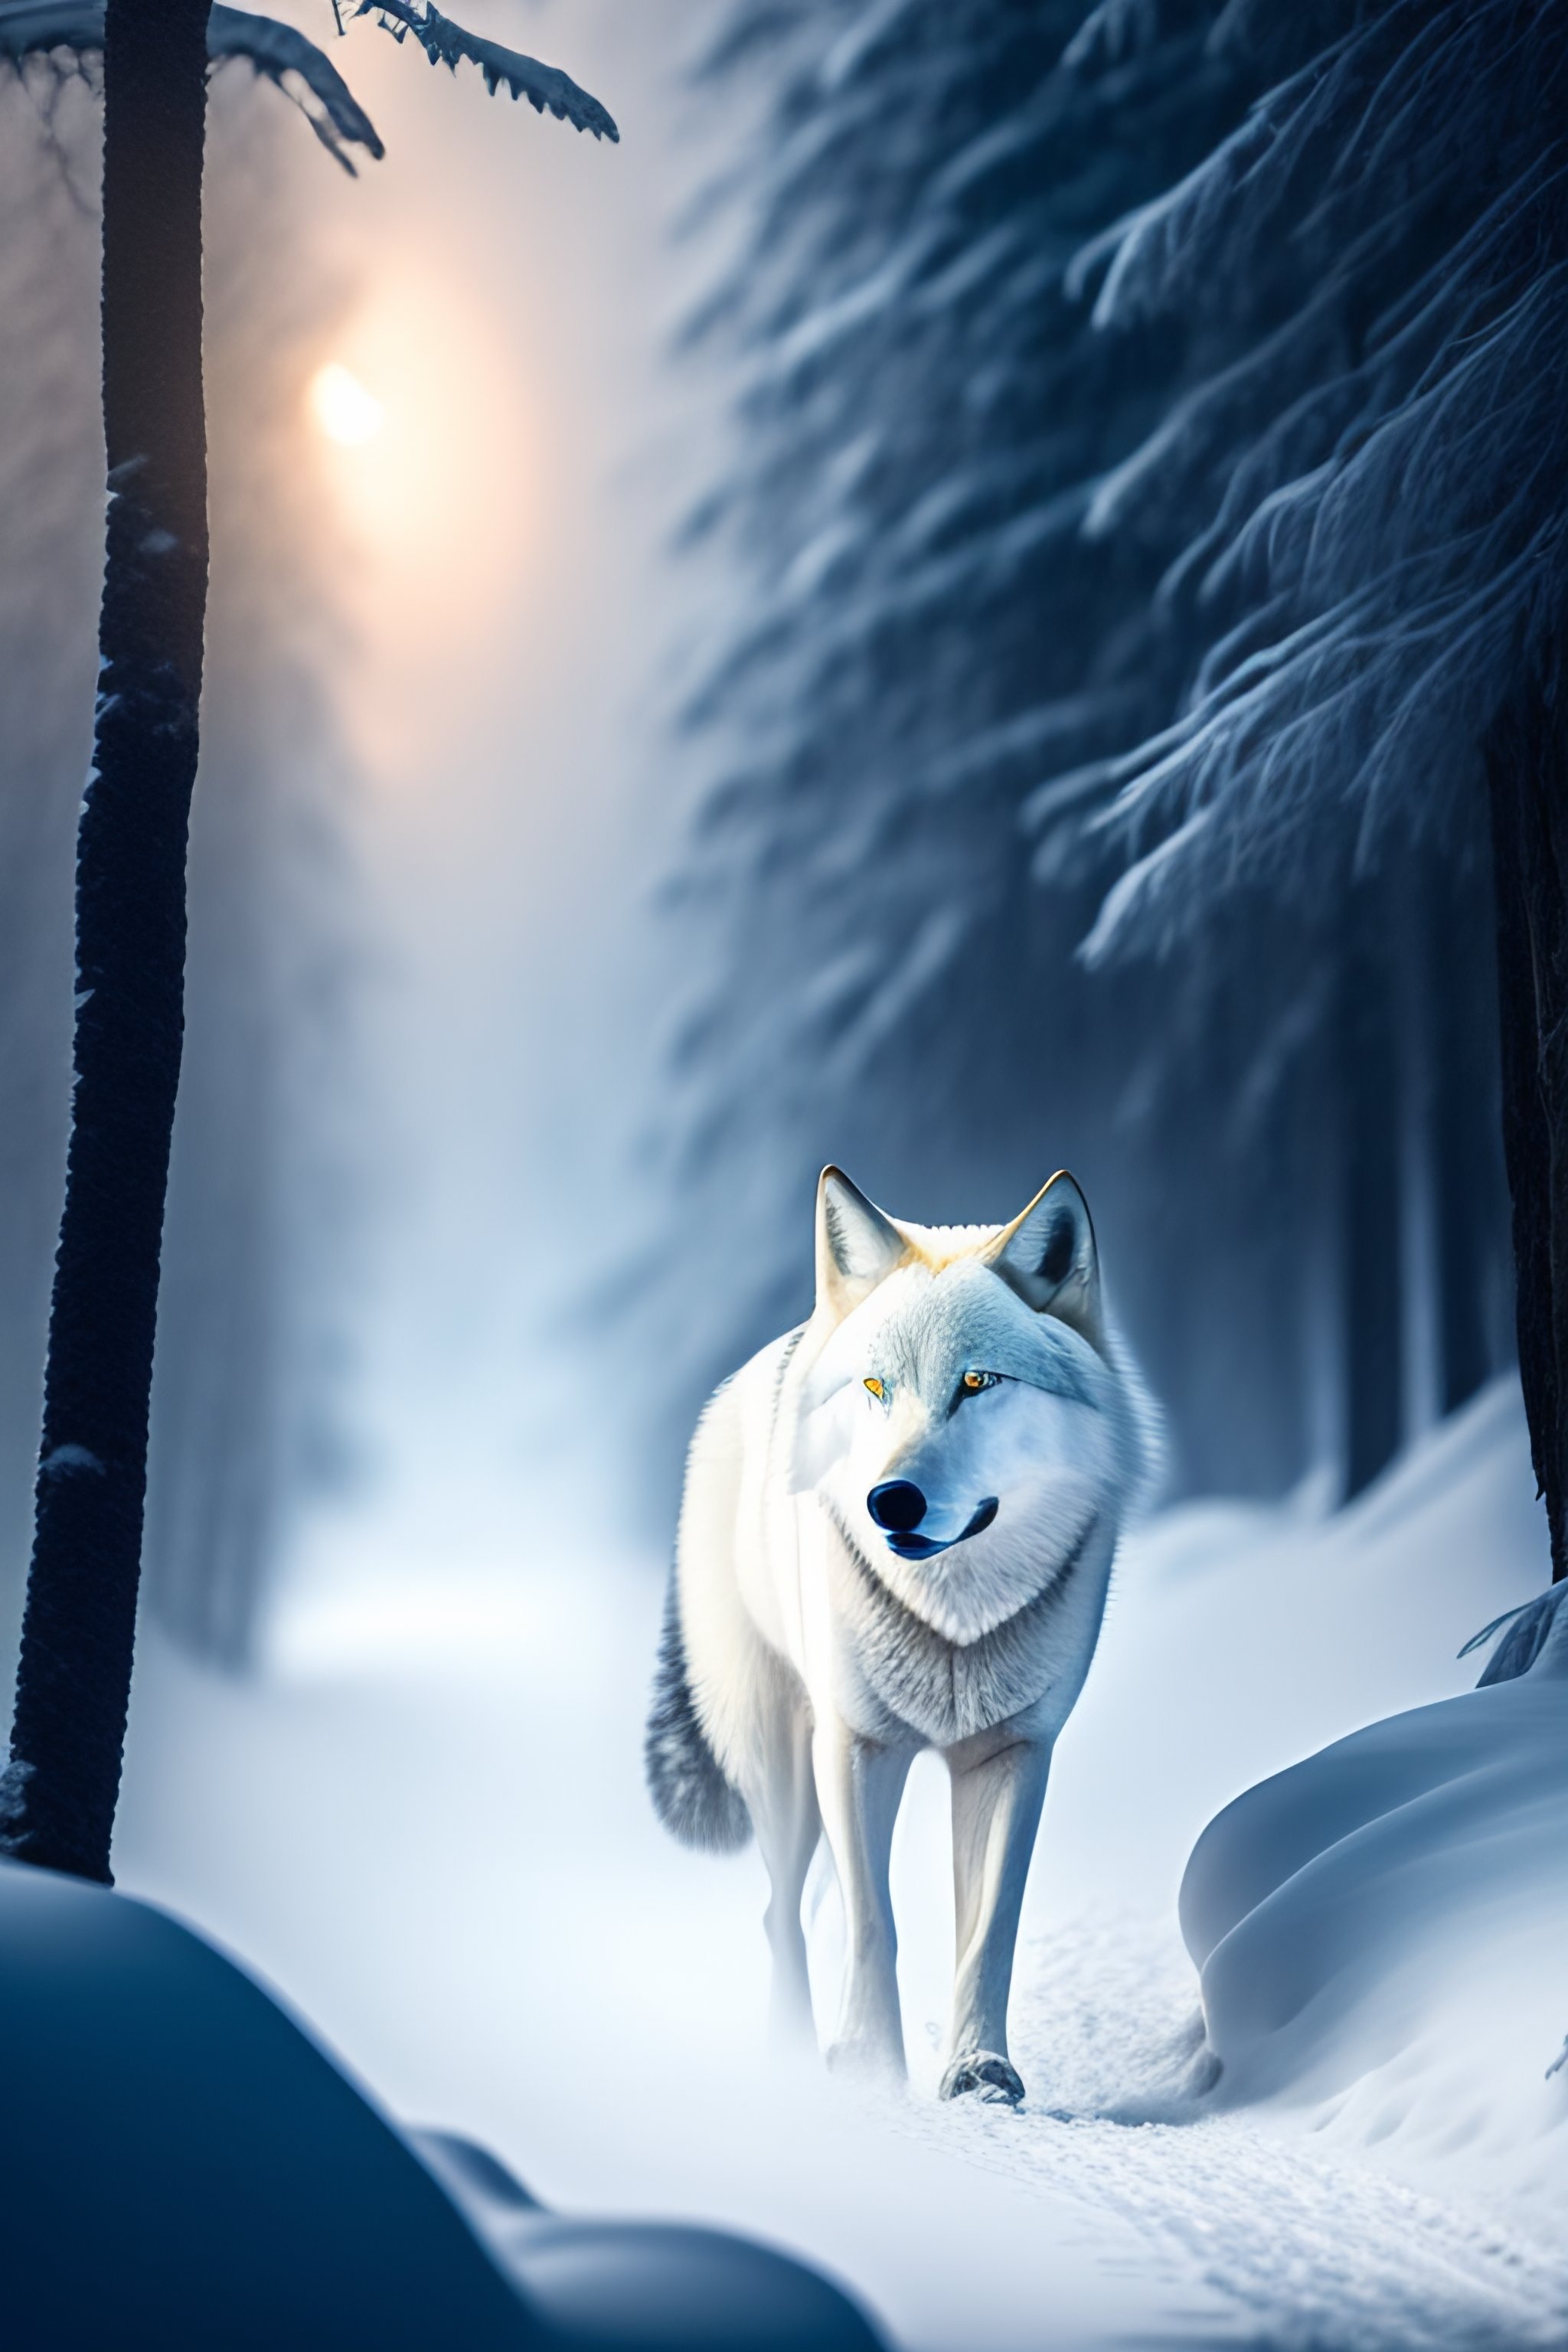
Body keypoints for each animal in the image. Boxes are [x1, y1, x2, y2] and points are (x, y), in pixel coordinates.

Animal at [645, 1166, 1155, 2104]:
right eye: (877, 1389)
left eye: (978, 1383)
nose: (891, 1502)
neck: (950, 1620)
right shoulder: (857, 1747)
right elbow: (874, 1922)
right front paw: (871, 2067)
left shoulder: (1013, 1755)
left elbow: (987, 1931)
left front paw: (980, 2072)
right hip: (786, 1769)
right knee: (783, 1911)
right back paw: (793, 2054)